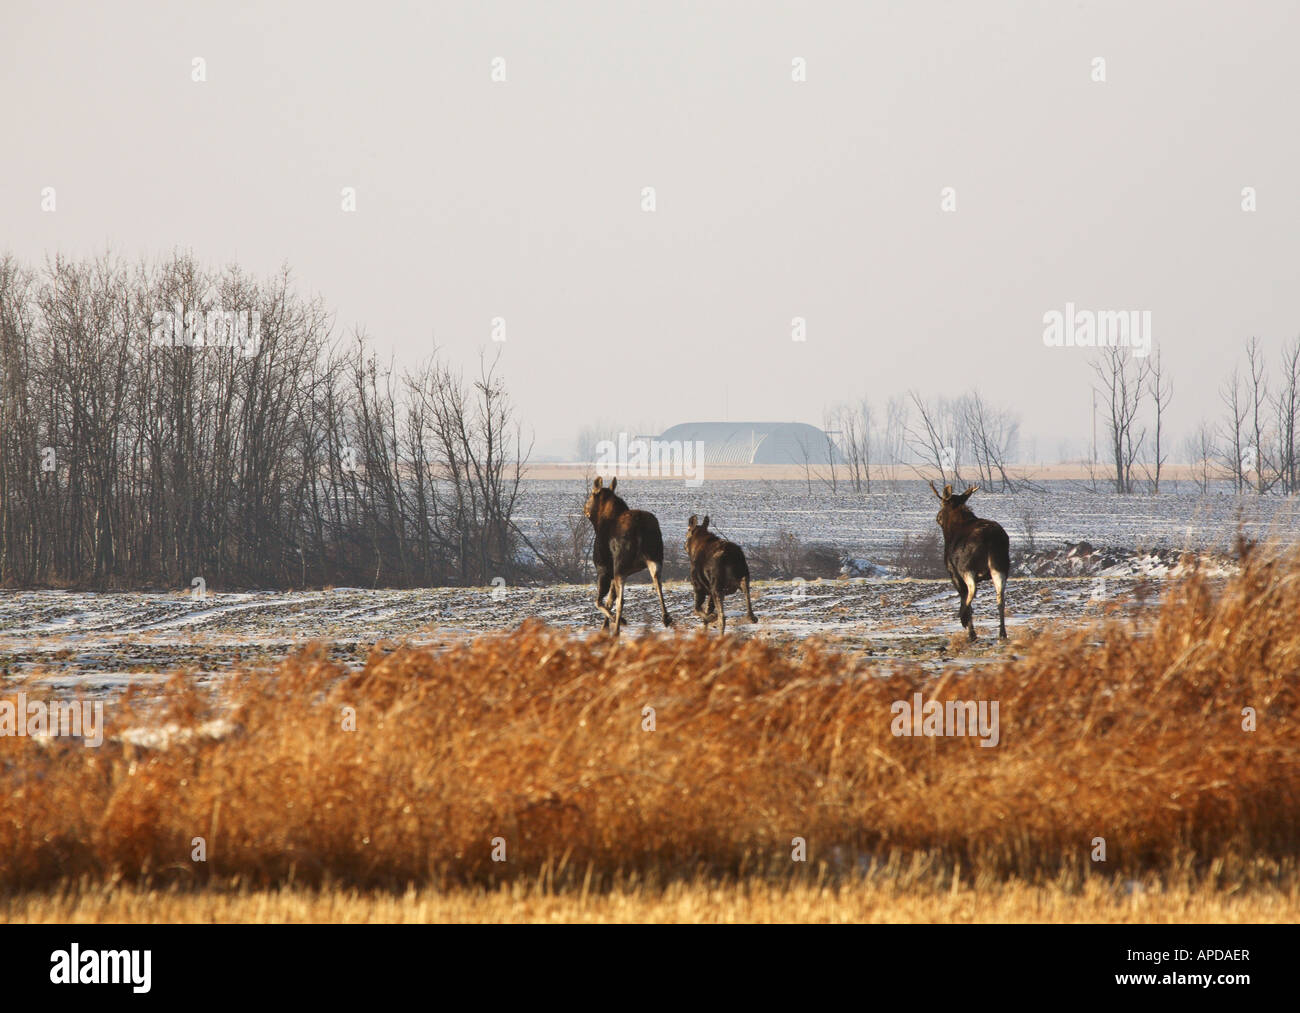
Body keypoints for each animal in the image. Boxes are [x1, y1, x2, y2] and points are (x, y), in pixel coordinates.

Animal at [583, 476, 672, 637]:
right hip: (655, 559)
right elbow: (608, 601)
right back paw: (666, 618)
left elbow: (599, 602)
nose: (584, 509)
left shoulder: (604, 569)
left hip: (620, 567)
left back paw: (617, 629)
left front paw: (616, 621)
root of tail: (640, 527)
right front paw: (605, 626)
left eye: (591, 495)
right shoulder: (612, 573)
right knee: (658, 585)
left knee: (621, 600)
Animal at [930, 482, 1010, 641]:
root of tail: (990, 538)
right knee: (1000, 598)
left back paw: (965, 622)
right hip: (1000, 567)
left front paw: (970, 630)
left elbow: (963, 596)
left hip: (966, 568)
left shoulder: (953, 573)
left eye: (940, 513)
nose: (937, 518)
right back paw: (1002, 633)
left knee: (972, 592)